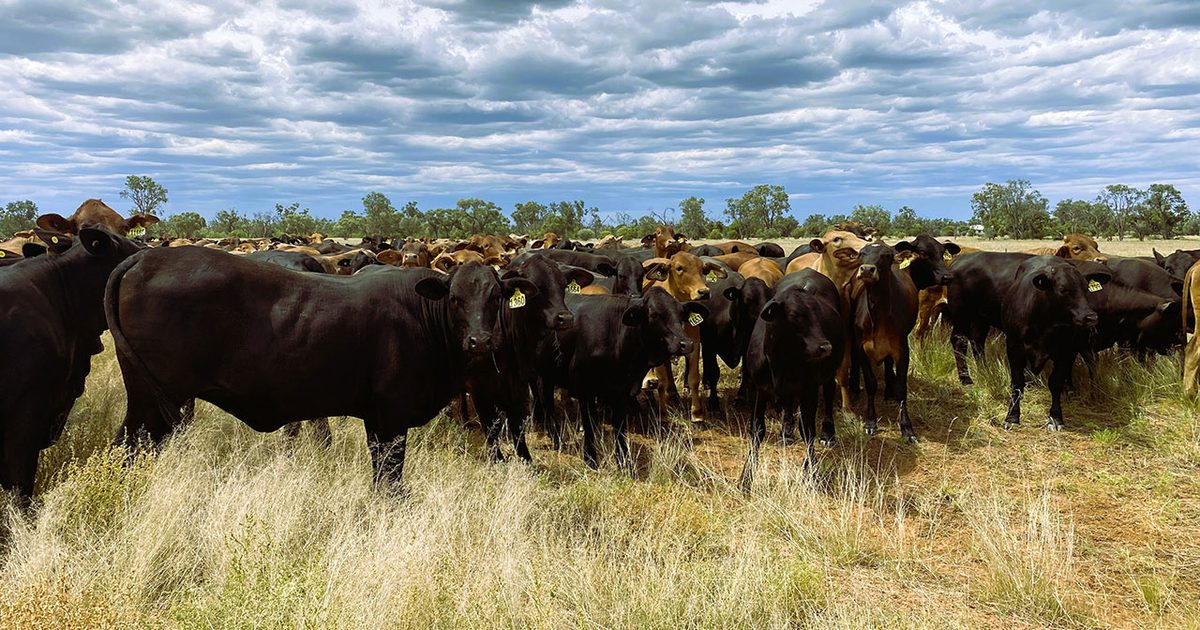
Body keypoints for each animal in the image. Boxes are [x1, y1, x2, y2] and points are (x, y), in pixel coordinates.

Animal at [105, 251, 537, 488]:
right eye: (456, 298)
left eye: (496, 296)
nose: (480, 341)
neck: (422, 317)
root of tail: (146, 257)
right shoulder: (391, 417)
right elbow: (390, 480)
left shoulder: (376, 420)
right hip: (152, 401)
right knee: (125, 448)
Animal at [550, 288, 708, 470]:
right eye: (654, 314)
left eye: (682, 314)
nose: (686, 343)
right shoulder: (584, 389)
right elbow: (589, 425)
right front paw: (591, 460)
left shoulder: (621, 391)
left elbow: (619, 427)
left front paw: (624, 461)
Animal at [737, 269, 844, 491]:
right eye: (795, 315)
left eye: (819, 314)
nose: (825, 347)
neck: (781, 362)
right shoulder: (760, 390)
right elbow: (757, 431)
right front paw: (746, 477)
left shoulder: (809, 391)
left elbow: (808, 432)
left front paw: (811, 473)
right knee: (788, 406)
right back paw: (786, 430)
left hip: (829, 375)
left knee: (829, 394)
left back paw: (828, 433)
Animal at [999, 256, 1107, 430]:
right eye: (1062, 289)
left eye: (1086, 288)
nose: (1090, 317)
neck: (1044, 323)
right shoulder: (1014, 347)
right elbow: (1017, 383)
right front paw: (1012, 416)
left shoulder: (1066, 351)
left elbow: (1055, 382)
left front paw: (1055, 418)